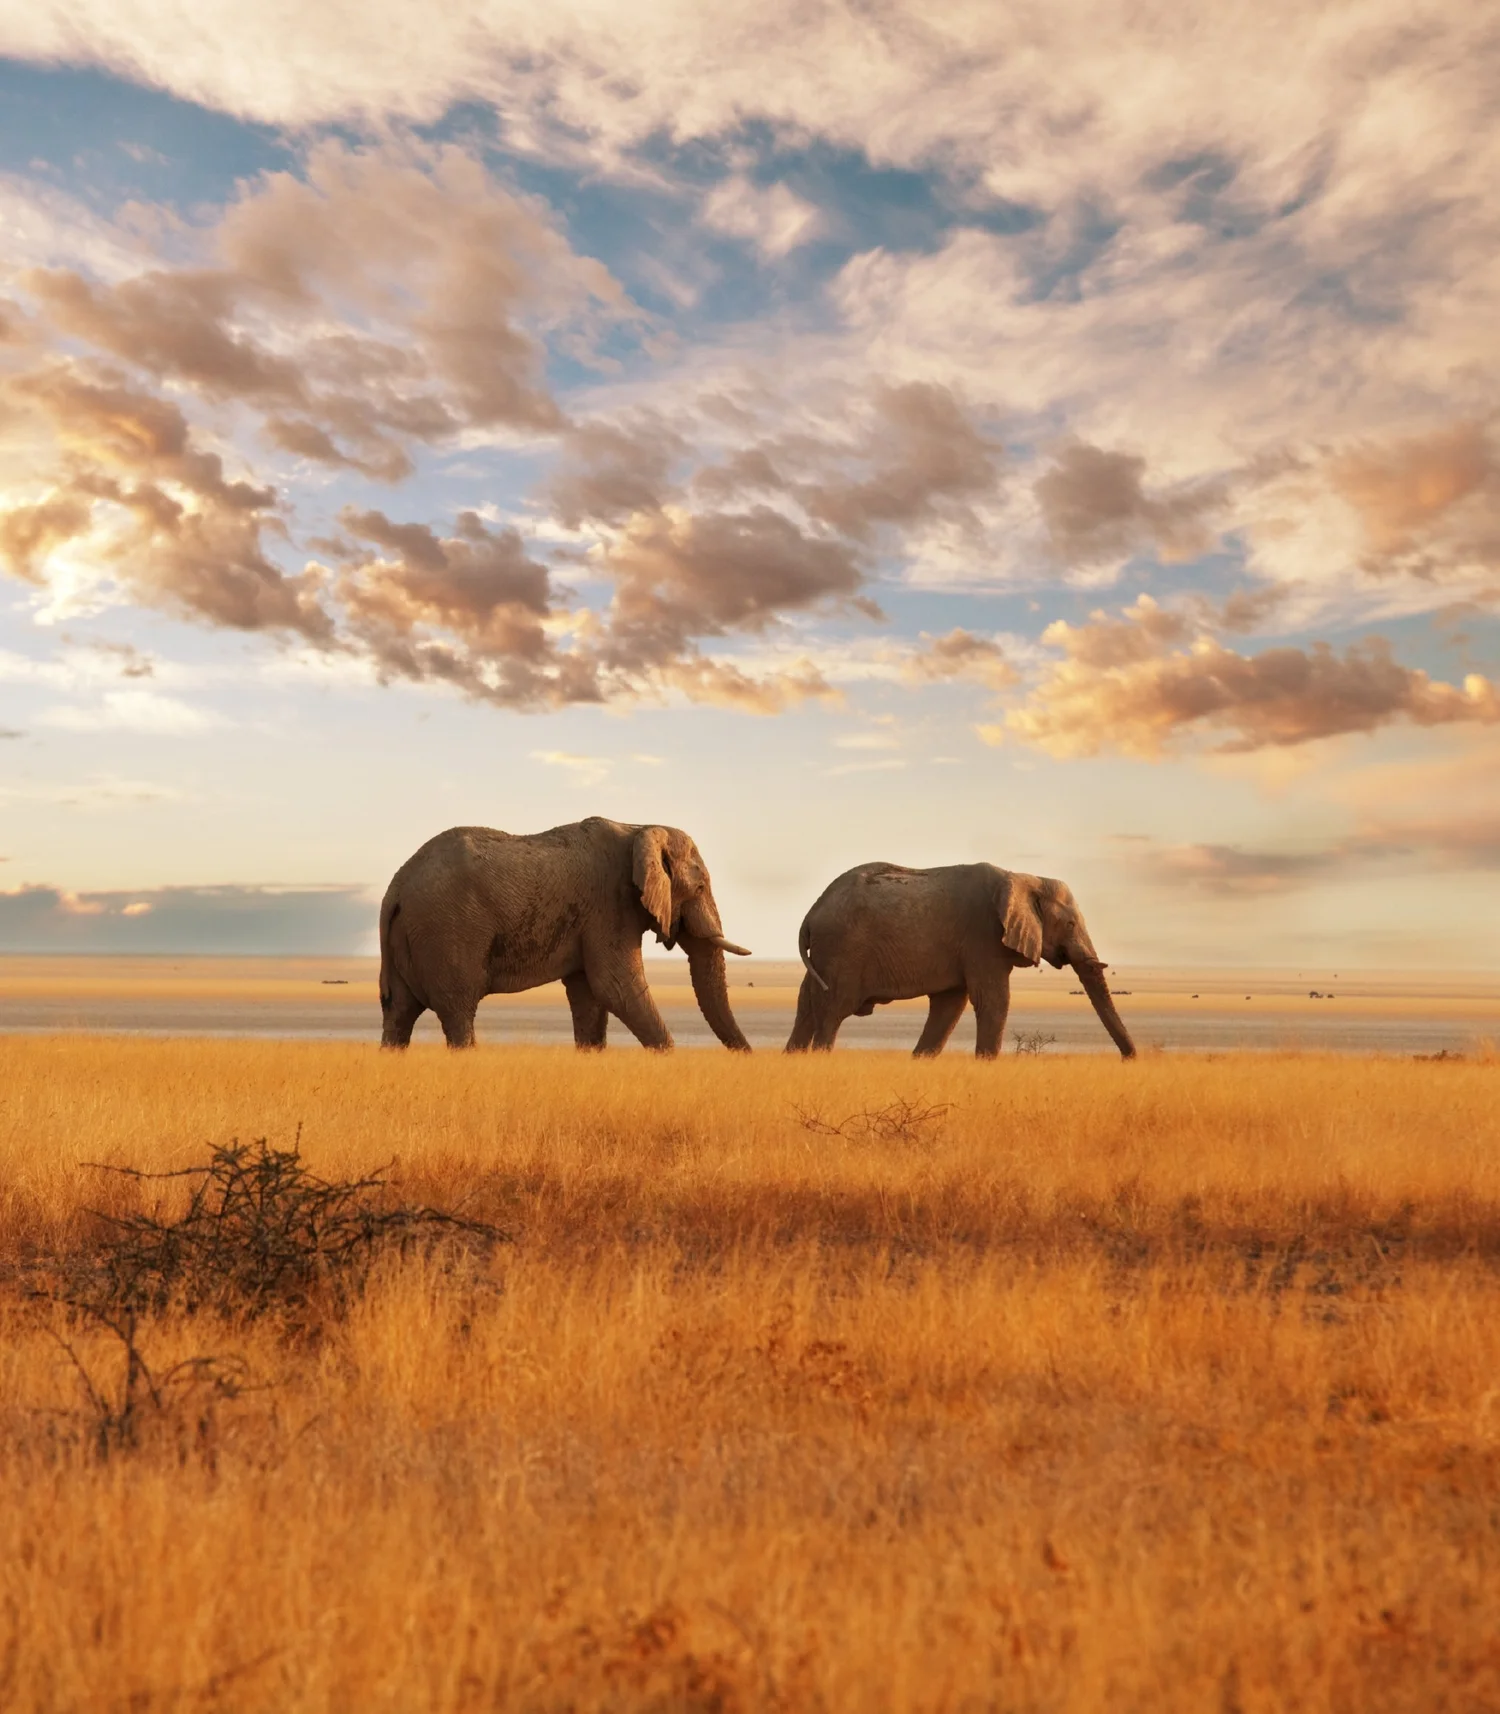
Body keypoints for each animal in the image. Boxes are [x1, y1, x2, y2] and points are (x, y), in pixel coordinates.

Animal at [378, 817, 752, 1051]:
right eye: (700, 887)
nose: (748, 1056)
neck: (641, 827)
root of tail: (396, 886)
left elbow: (589, 996)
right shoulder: (608, 906)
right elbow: (615, 986)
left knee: (399, 1012)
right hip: (447, 931)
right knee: (458, 1011)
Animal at [785, 862, 1136, 1059]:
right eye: (1071, 924)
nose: (1130, 1058)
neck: (1023, 878)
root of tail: (811, 913)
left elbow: (950, 1005)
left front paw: (921, 1061)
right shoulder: (983, 936)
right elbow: (992, 999)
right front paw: (987, 1064)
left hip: (826, 953)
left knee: (806, 1006)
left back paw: (792, 1058)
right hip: (843, 951)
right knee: (833, 1011)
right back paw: (820, 1058)